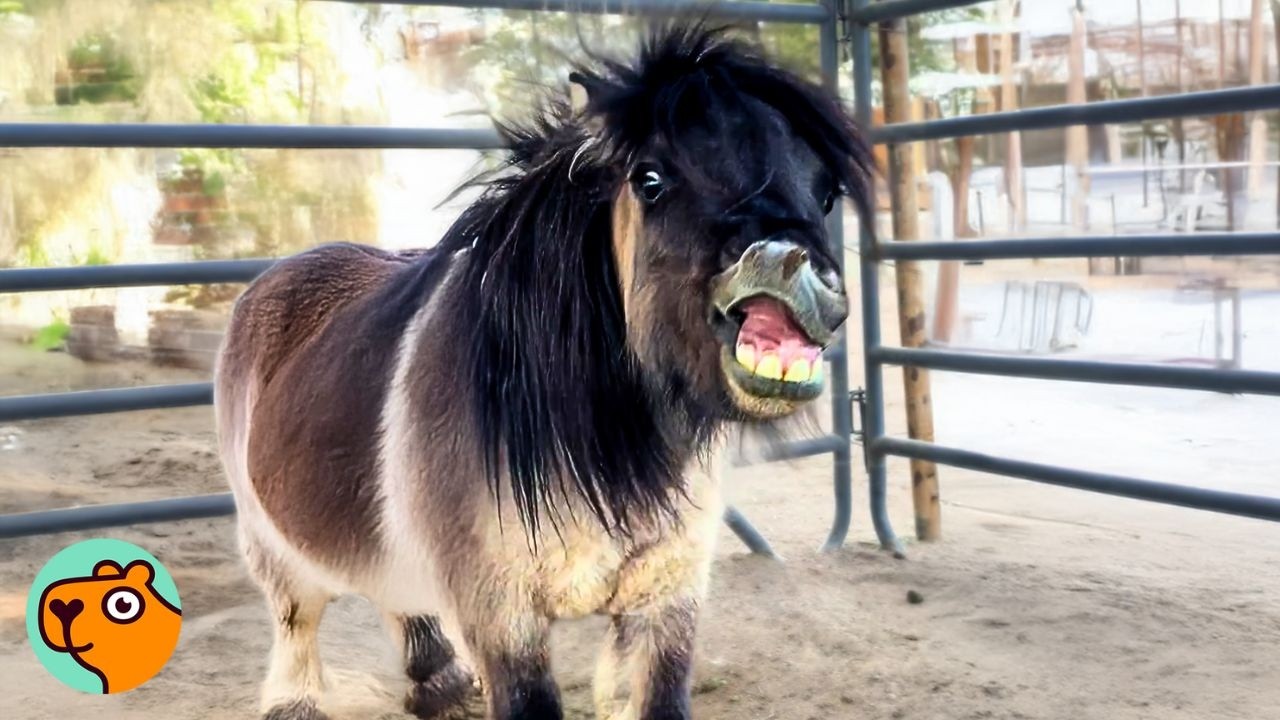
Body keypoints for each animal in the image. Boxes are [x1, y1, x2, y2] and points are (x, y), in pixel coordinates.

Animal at [215, 23, 872, 720]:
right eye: (651, 178)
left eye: (826, 190)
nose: (791, 266)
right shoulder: (504, 617)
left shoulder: (665, 605)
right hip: (270, 543)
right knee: (296, 618)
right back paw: (297, 701)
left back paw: (440, 683)